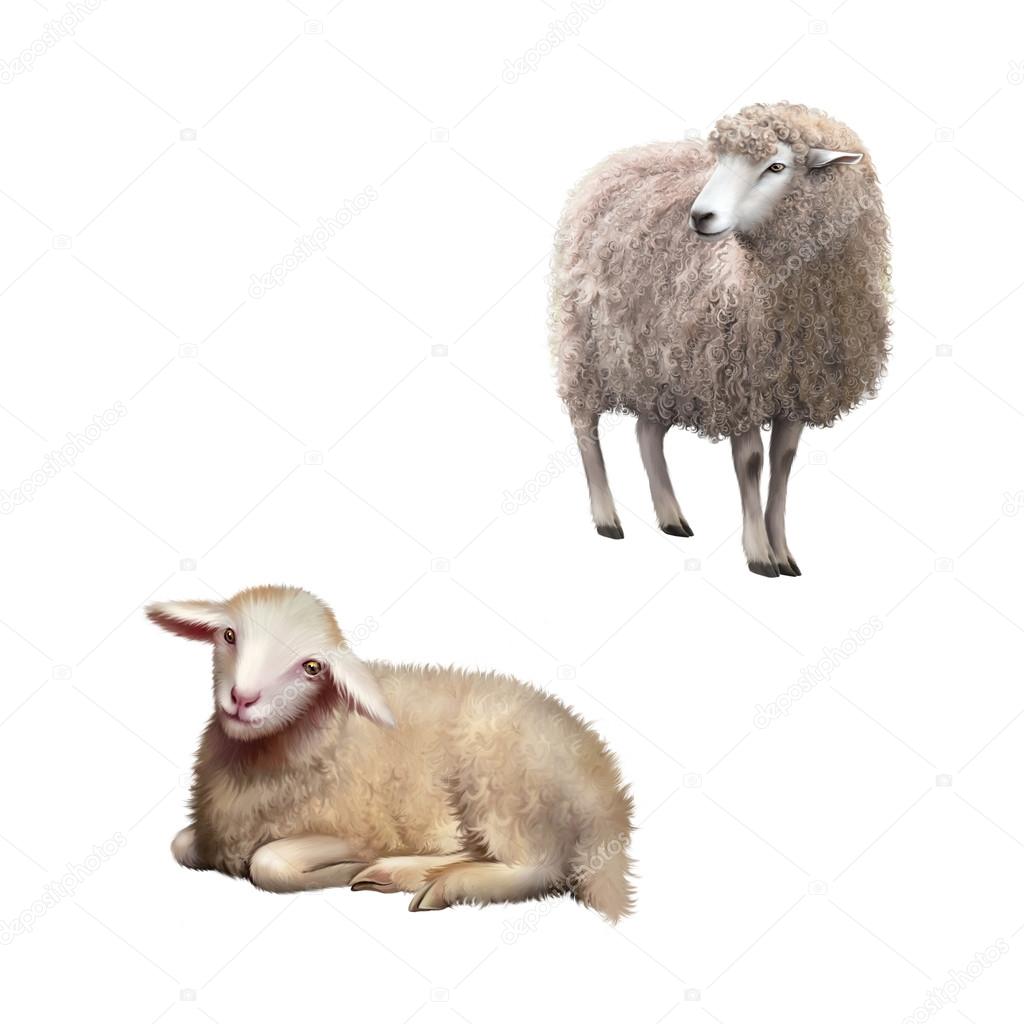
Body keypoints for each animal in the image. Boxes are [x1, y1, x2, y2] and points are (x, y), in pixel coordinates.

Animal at [148, 585, 635, 920]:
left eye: (312, 667)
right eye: (229, 635)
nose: (242, 699)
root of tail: (608, 797)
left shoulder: (354, 830)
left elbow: (269, 863)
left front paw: (344, 869)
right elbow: (181, 845)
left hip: (504, 785)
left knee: (539, 869)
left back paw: (433, 881)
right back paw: (405, 872)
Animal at [549, 102, 891, 575]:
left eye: (777, 166)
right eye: (720, 162)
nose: (699, 216)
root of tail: (620, 160)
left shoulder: (797, 386)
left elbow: (783, 464)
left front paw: (783, 553)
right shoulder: (737, 381)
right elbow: (751, 463)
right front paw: (760, 555)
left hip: (661, 360)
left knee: (647, 433)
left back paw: (671, 517)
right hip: (585, 343)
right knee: (585, 425)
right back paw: (607, 519)